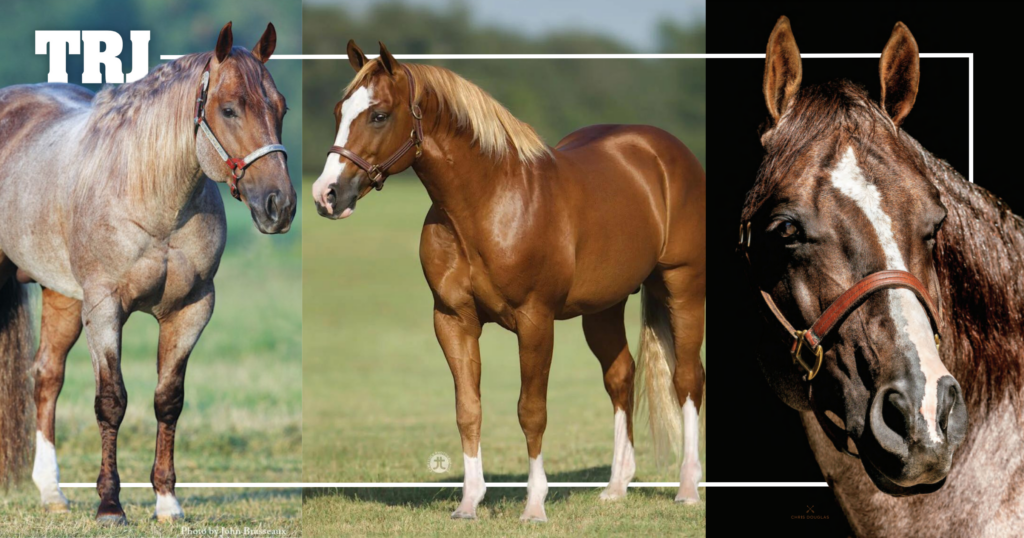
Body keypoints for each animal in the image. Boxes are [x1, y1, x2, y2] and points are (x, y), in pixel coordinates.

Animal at [0, 22, 294, 525]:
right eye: (229, 108)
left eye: (281, 107)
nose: (280, 204)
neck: (151, 193)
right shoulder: (104, 309)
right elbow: (111, 401)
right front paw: (109, 505)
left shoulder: (191, 310)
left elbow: (168, 400)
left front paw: (167, 501)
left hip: (63, 296)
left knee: (47, 376)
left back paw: (52, 492)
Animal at [311, 41, 706, 522]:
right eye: (339, 111)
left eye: (379, 115)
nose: (326, 194)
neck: (489, 202)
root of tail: (666, 153)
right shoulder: (453, 321)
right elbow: (468, 409)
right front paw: (468, 503)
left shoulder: (535, 321)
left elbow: (531, 411)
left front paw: (534, 506)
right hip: (604, 307)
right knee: (621, 378)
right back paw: (616, 486)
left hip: (684, 288)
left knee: (687, 378)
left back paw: (687, 487)